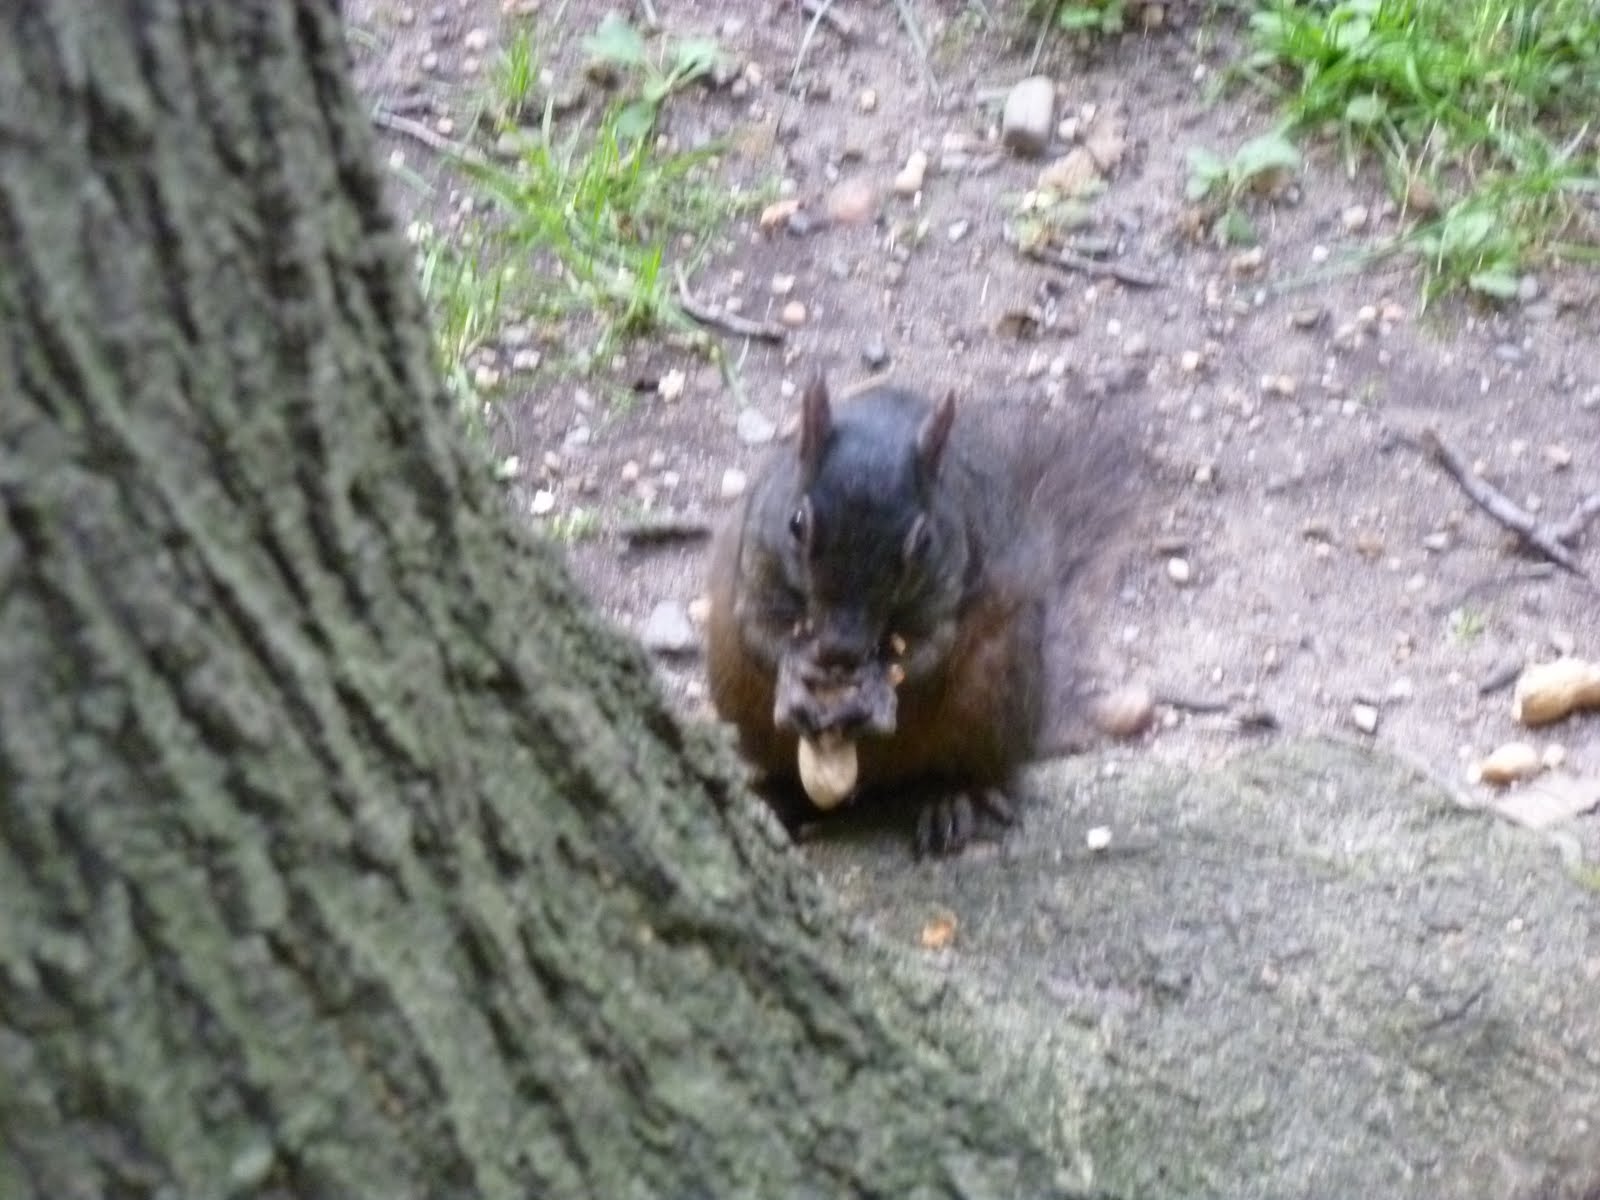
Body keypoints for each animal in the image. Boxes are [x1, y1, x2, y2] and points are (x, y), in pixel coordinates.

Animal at [705, 373, 1132, 856]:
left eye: (923, 541)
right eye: (796, 523)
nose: (841, 649)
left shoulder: (951, 577)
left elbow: (929, 652)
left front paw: (874, 690)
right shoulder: (754, 561)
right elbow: (758, 630)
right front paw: (797, 672)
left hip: (997, 683)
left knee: (982, 766)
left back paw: (955, 797)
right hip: (734, 687)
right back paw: (775, 800)